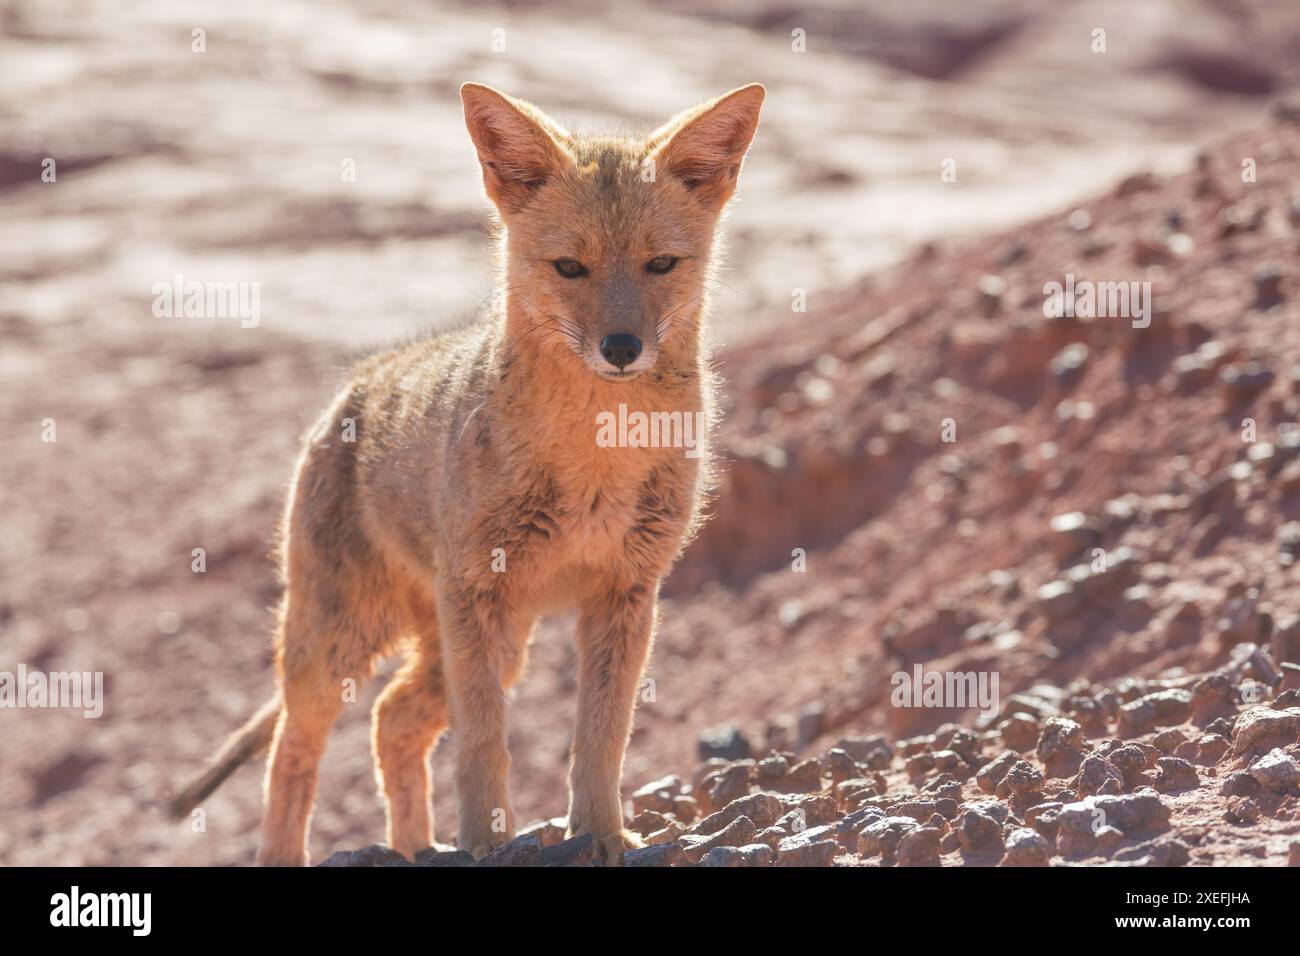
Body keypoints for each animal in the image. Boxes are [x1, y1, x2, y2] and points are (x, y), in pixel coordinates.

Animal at [167, 81, 765, 866]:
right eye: (569, 267)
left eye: (661, 264)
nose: (621, 347)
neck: (598, 456)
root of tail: (352, 388)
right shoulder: (479, 592)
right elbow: (484, 741)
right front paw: (485, 841)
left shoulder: (626, 592)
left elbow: (602, 735)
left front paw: (602, 833)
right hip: (346, 644)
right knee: (295, 751)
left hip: (487, 641)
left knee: (392, 721)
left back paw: (416, 845)